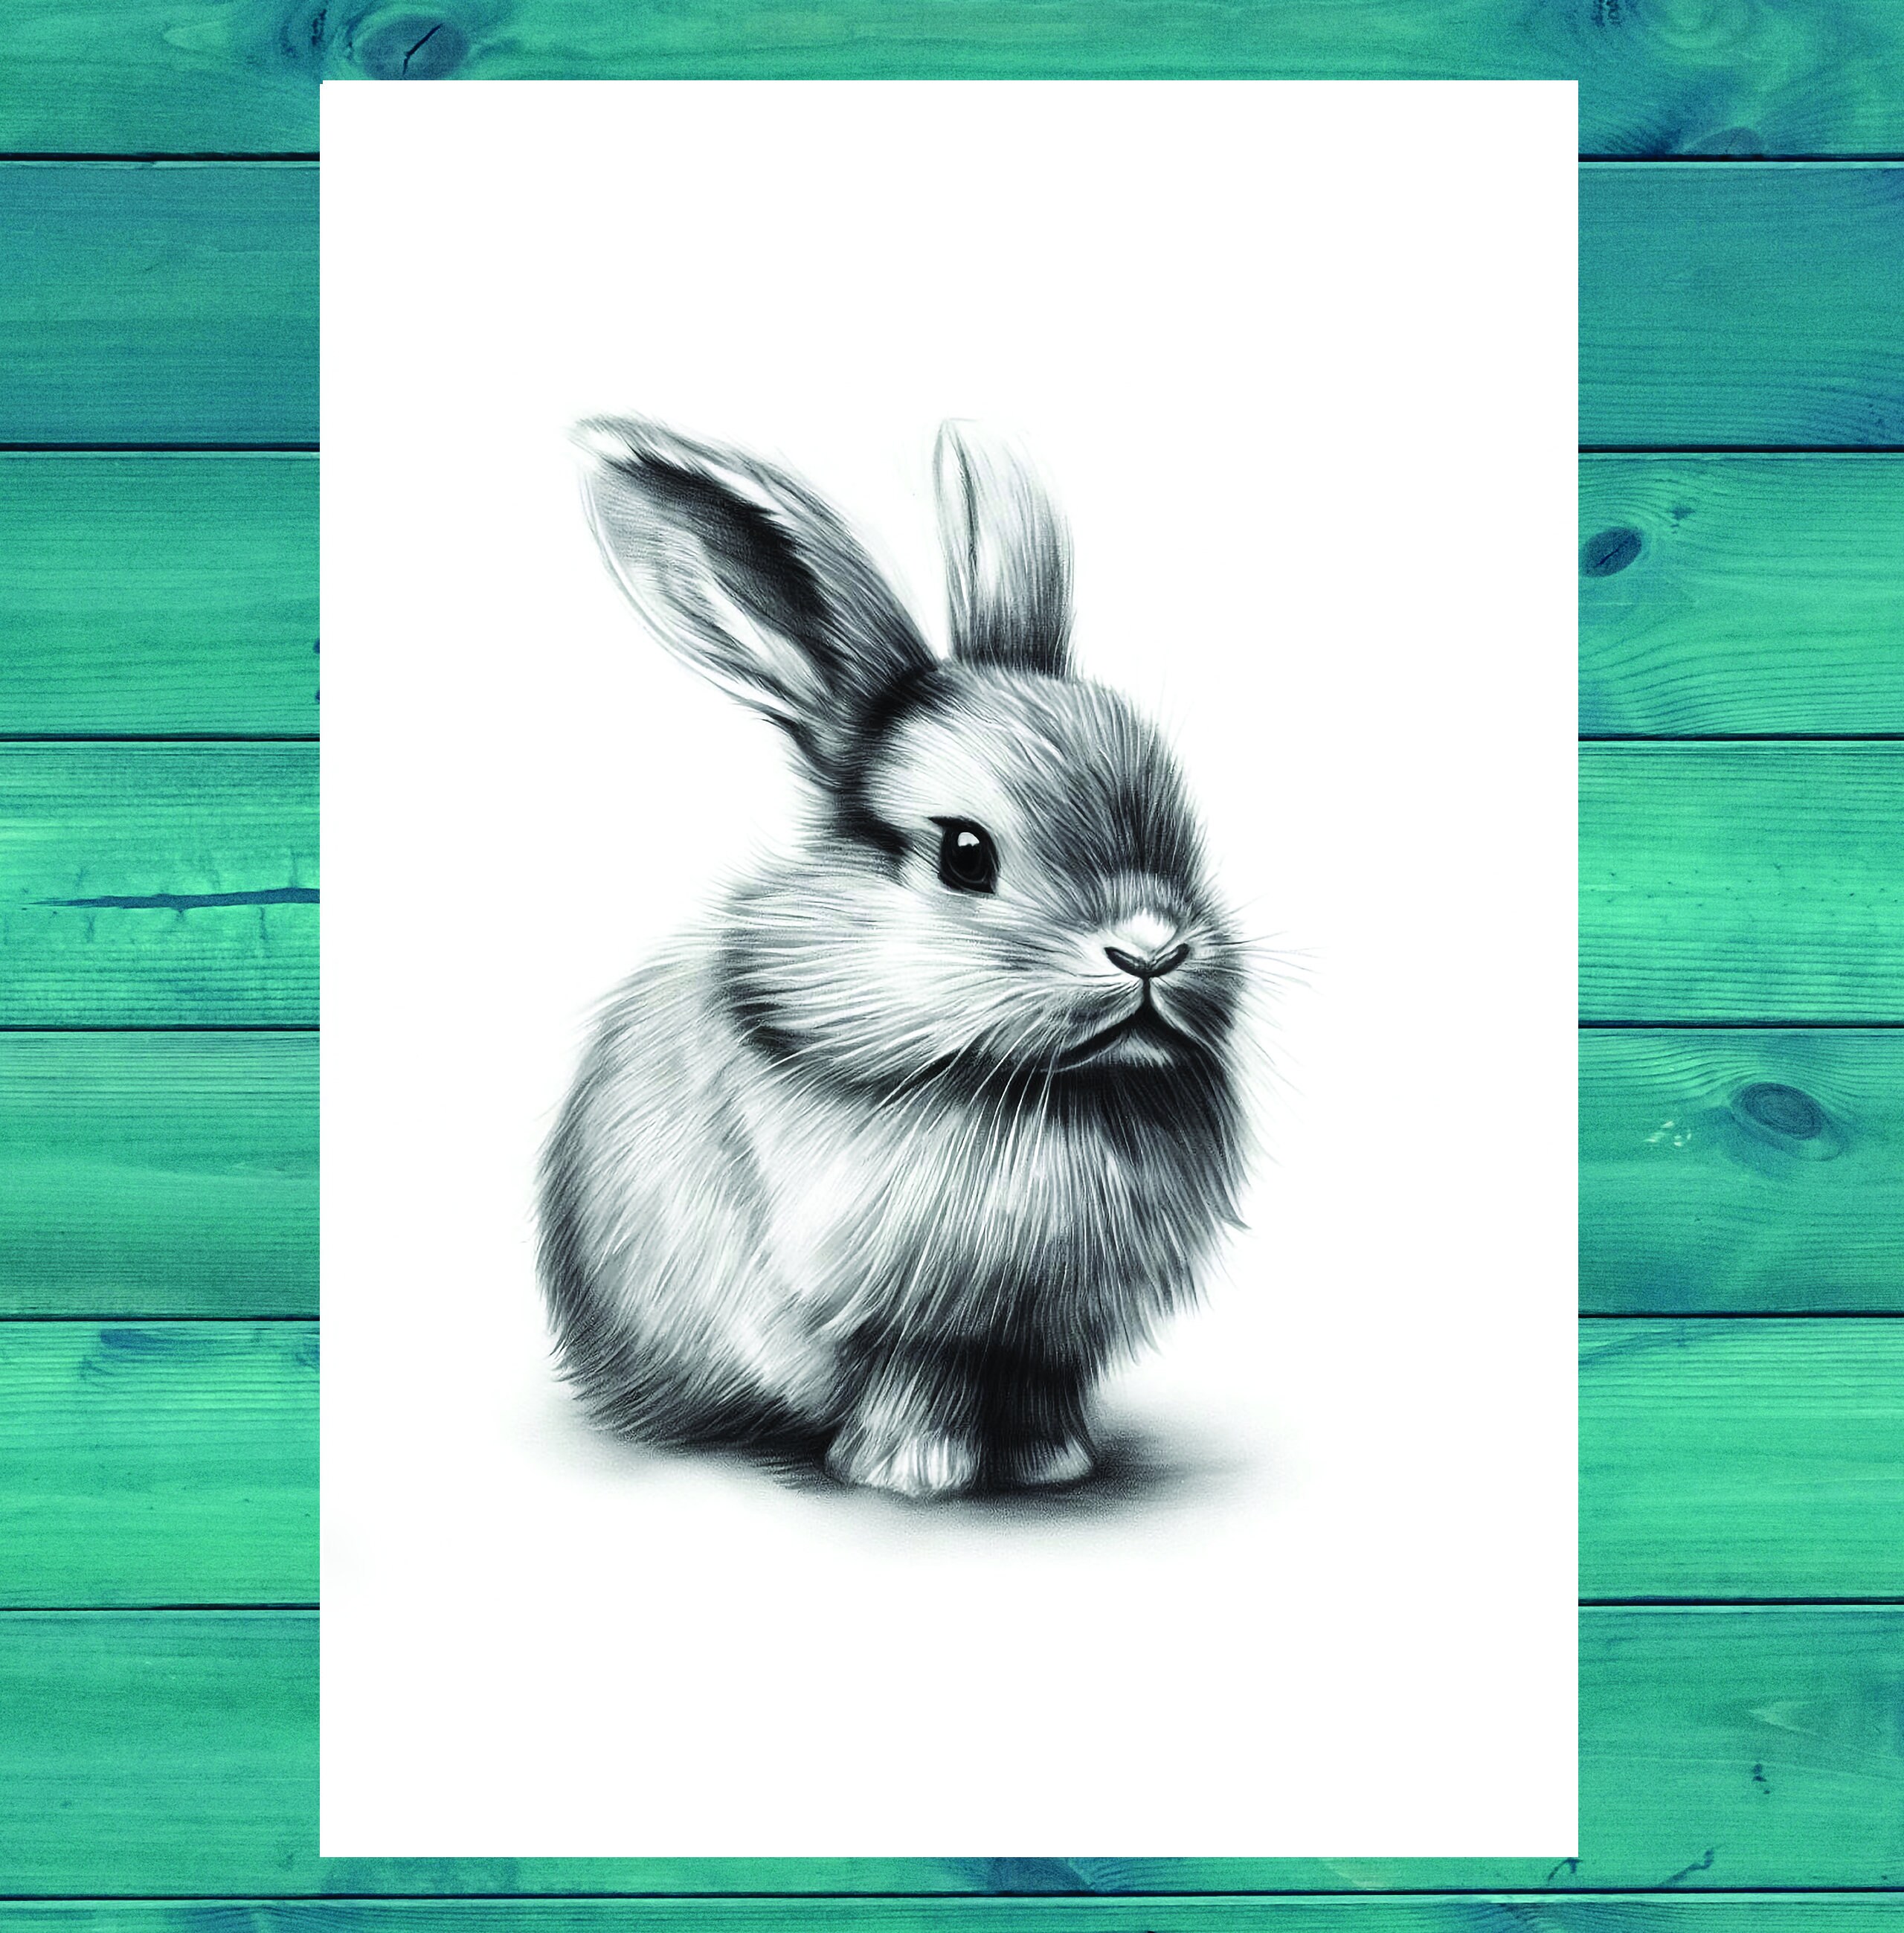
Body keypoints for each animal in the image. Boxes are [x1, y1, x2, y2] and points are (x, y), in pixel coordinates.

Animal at [539, 415, 1249, 1499]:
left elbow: (1039, 1390)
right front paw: (915, 1473)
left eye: (1177, 821)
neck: (1043, 1090)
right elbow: (919, 1386)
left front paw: (1051, 1466)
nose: (1152, 951)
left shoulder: (1046, 1338)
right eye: (965, 852)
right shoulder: (904, 1323)